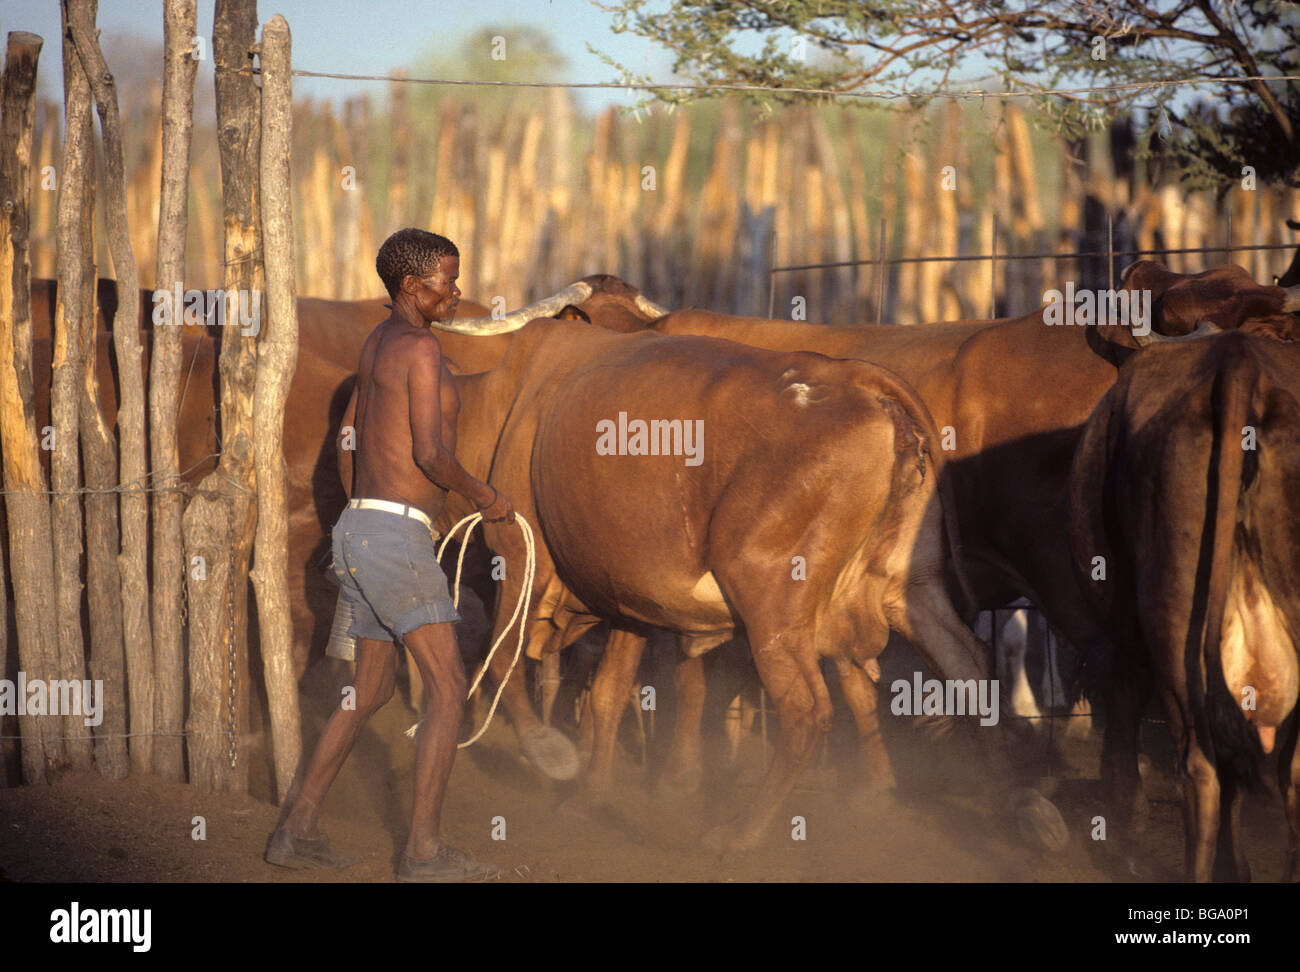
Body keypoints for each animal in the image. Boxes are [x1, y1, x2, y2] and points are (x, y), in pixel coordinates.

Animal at [425, 313, 1066, 852]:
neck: (510, 404)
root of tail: (863, 381)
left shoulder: (520, 559)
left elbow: (501, 664)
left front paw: (550, 756)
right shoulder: (630, 599)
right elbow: (606, 696)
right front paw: (588, 799)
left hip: (770, 599)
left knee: (807, 707)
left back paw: (740, 833)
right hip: (910, 589)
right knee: (970, 669)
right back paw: (1020, 807)